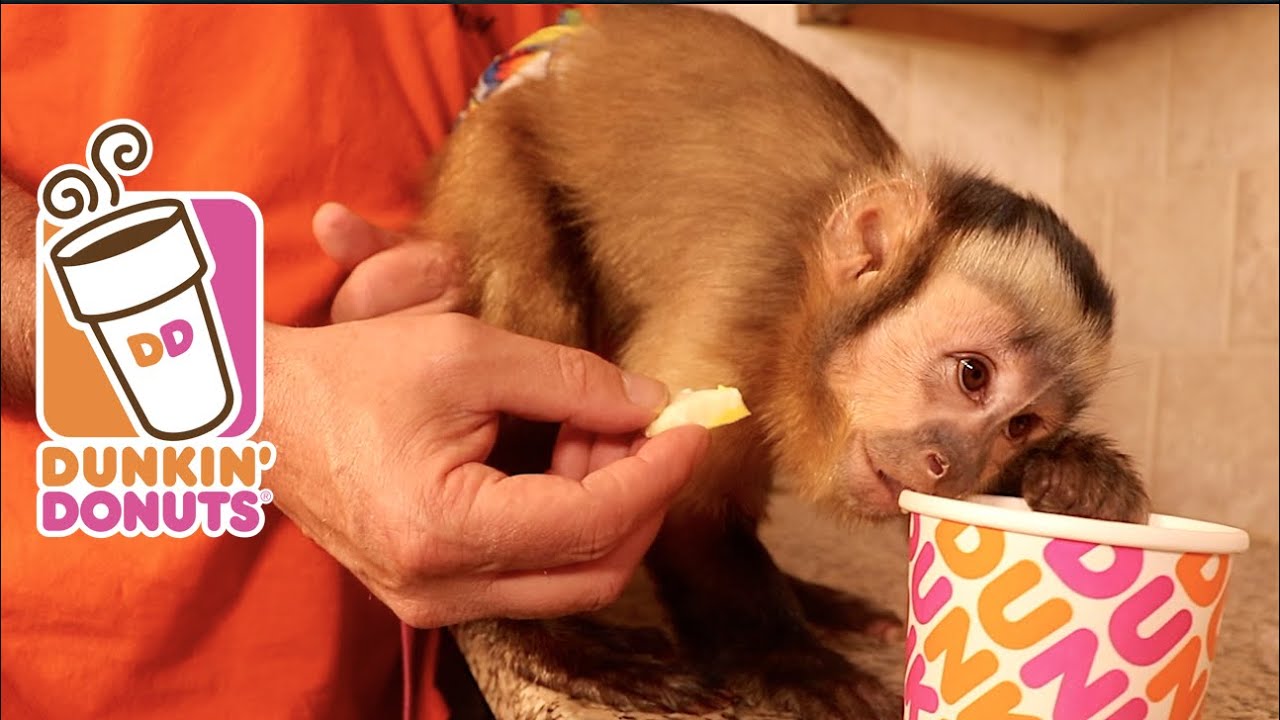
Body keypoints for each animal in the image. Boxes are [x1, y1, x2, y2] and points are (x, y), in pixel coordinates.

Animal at [414, 5, 1150, 718]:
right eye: (974, 375)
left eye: (1019, 427)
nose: (955, 465)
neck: (801, 310)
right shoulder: (738, 308)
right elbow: (683, 500)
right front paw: (789, 660)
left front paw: (1081, 480)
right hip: (491, 153)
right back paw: (536, 633)